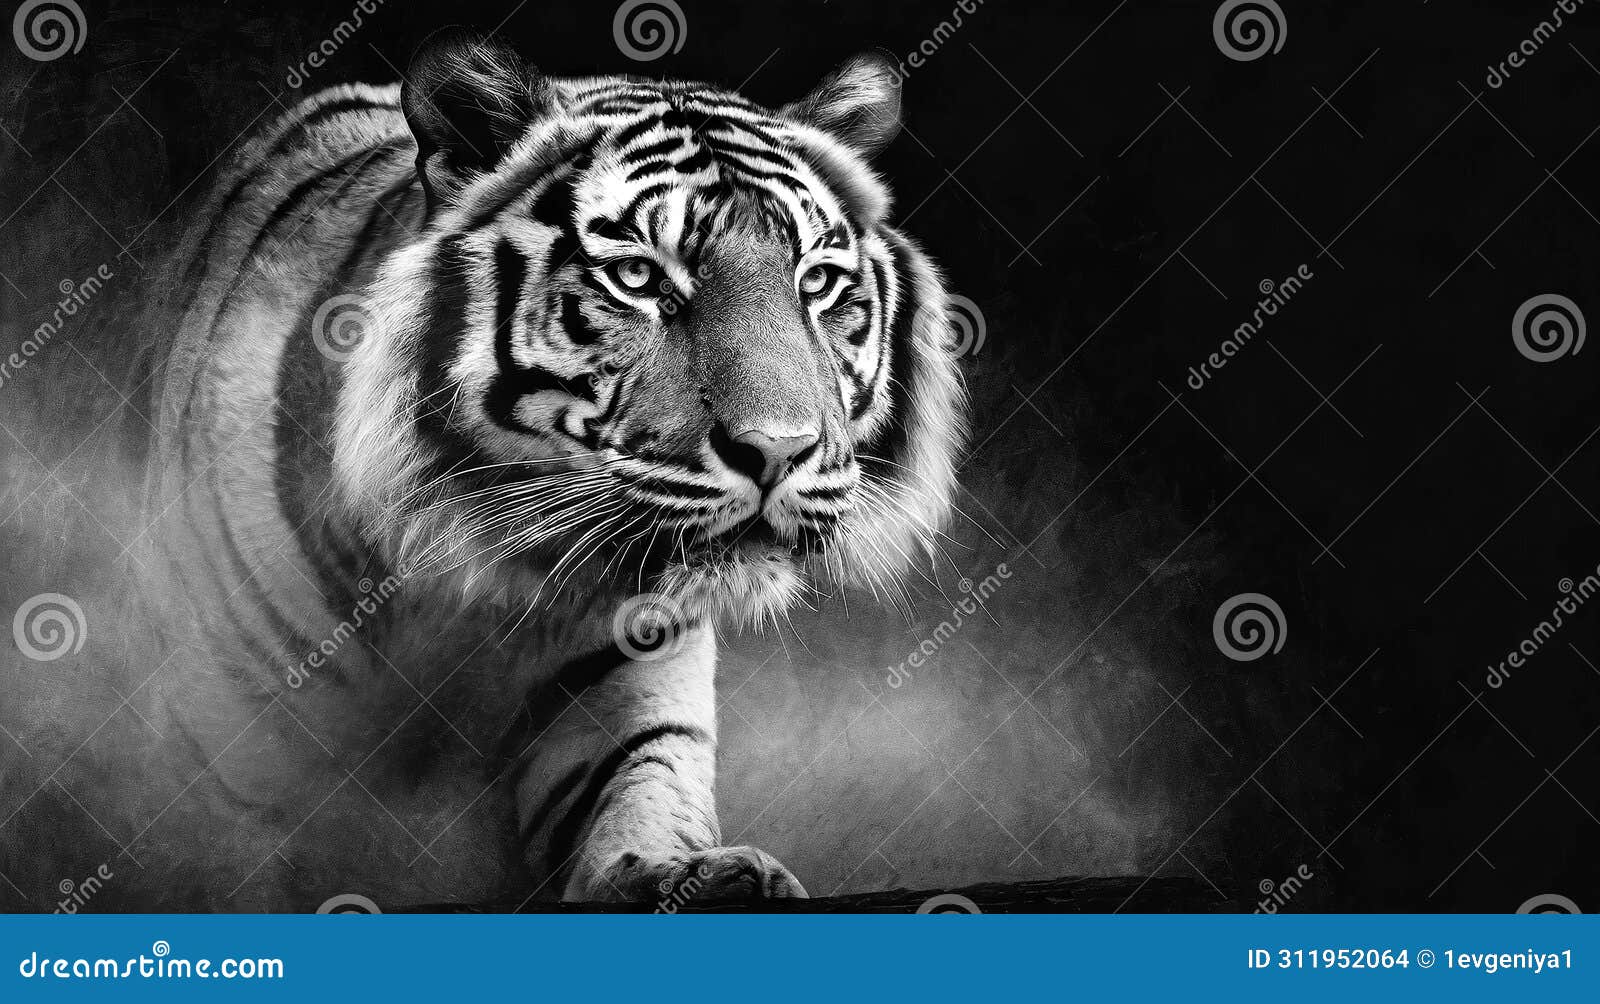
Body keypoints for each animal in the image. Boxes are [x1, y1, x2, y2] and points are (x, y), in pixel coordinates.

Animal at [0, 31, 963, 910]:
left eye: (818, 283)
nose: (778, 450)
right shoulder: (225, 757)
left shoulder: (628, 686)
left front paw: (701, 878)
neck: (466, 583)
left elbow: (644, 798)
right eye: (637, 277)